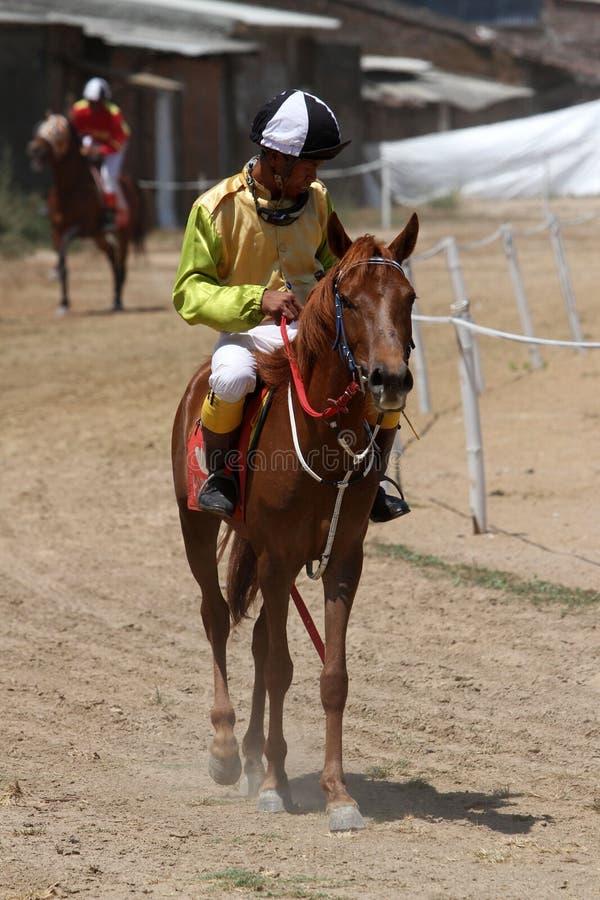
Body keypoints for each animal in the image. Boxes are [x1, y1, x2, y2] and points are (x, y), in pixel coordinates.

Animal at [27, 113, 145, 313]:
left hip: (122, 232)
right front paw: (63, 302)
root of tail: (129, 181)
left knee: (121, 261)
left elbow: (66, 243)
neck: (70, 188)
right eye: (40, 128)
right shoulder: (56, 229)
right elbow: (62, 261)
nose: (35, 149)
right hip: (99, 236)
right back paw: (114, 296)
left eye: (57, 132)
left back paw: (118, 299)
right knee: (111, 255)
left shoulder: (84, 228)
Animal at [171, 210, 419, 832]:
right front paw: (274, 787)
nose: (389, 379)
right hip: (199, 531)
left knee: (259, 636)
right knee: (217, 618)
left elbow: (331, 676)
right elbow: (282, 666)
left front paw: (337, 793)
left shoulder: (342, 562)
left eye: (408, 297)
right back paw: (228, 751)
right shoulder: (279, 559)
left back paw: (256, 756)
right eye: (348, 300)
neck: (322, 442)